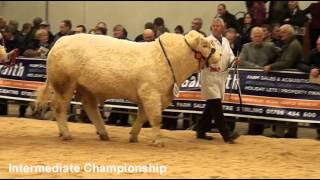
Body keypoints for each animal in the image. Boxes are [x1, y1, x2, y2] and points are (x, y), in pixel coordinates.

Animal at [34, 30, 220, 146]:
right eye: (205, 45)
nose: (219, 54)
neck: (169, 60)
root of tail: (59, 41)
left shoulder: (150, 96)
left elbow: (143, 117)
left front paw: (134, 136)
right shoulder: (150, 93)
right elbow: (155, 118)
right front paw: (158, 141)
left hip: (86, 87)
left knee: (90, 107)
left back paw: (103, 133)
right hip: (64, 84)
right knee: (59, 107)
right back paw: (66, 134)